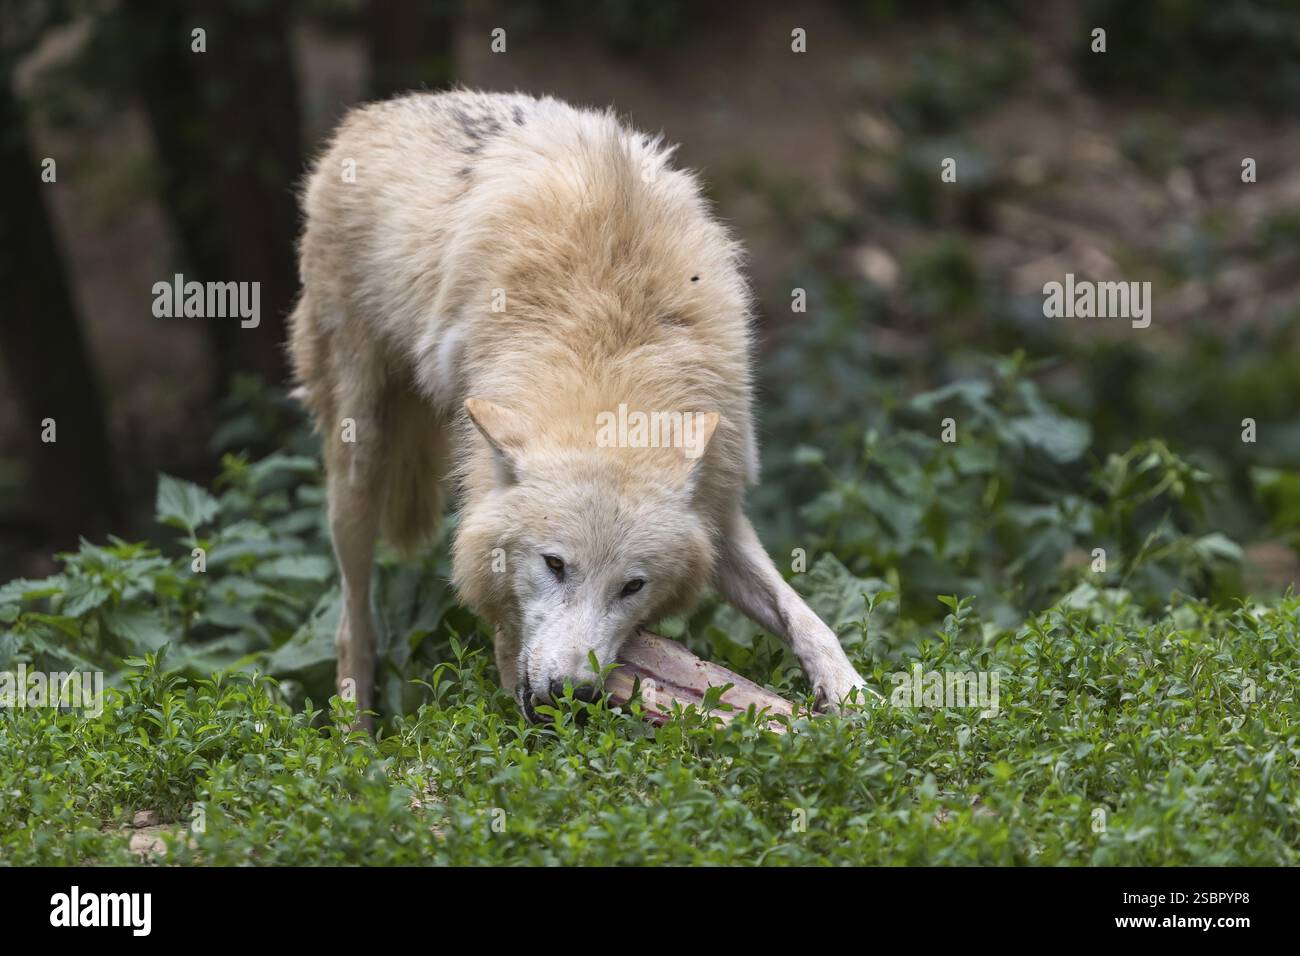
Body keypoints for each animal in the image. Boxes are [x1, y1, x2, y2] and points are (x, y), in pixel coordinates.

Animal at [288, 90, 868, 723]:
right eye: (554, 565)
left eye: (632, 586)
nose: (570, 694)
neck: (612, 352)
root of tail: (373, 114)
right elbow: (506, 640)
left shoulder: (717, 508)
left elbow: (805, 617)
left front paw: (858, 697)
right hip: (359, 456)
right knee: (352, 623)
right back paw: (355, 732)